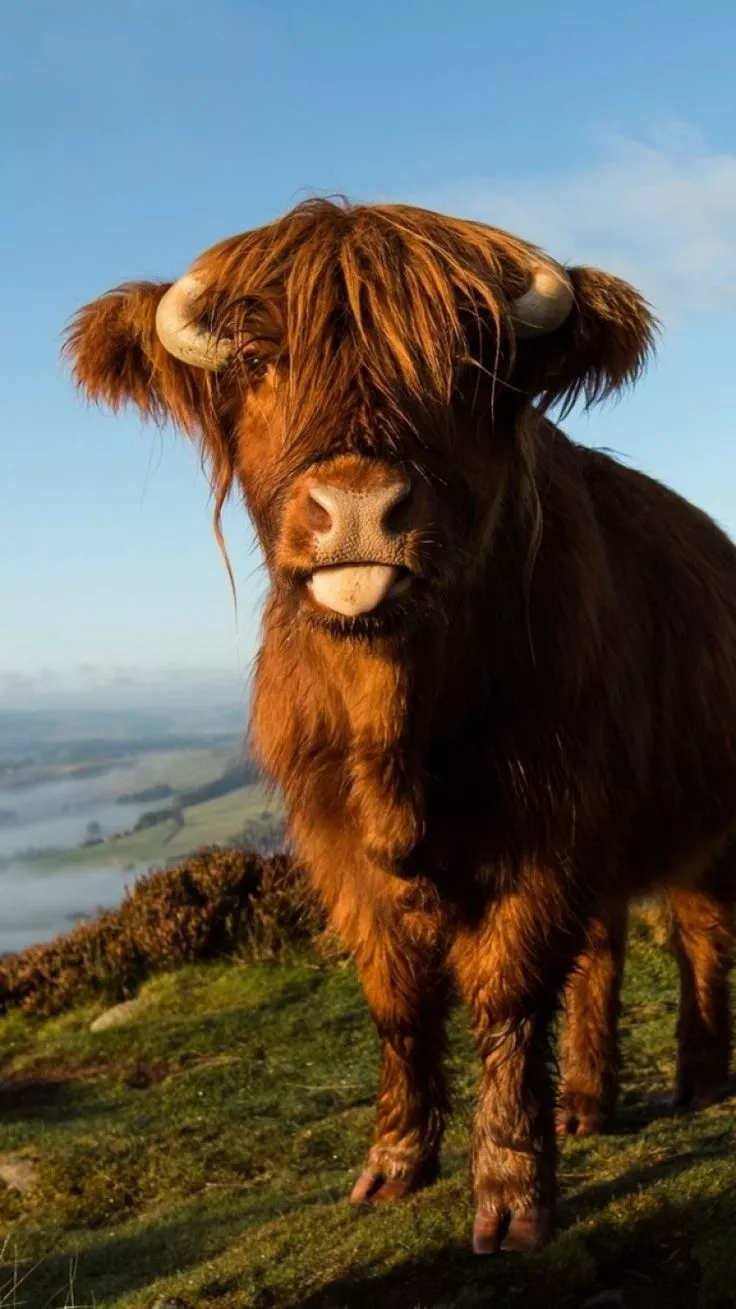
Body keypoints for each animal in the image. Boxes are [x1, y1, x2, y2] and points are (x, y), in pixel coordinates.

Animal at [65, 199, 736, 1254]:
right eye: (256, 359)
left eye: (466, 367)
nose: (357, 509)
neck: (395, 725)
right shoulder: (336, 837)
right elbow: (397, 995)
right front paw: (394, 1162)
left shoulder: (551, 821)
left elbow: (507, 990)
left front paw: (511, 1193)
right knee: (604, 943)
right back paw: (587, 1100)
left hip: (707, 818)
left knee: (700, 928)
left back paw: (700, 1079)